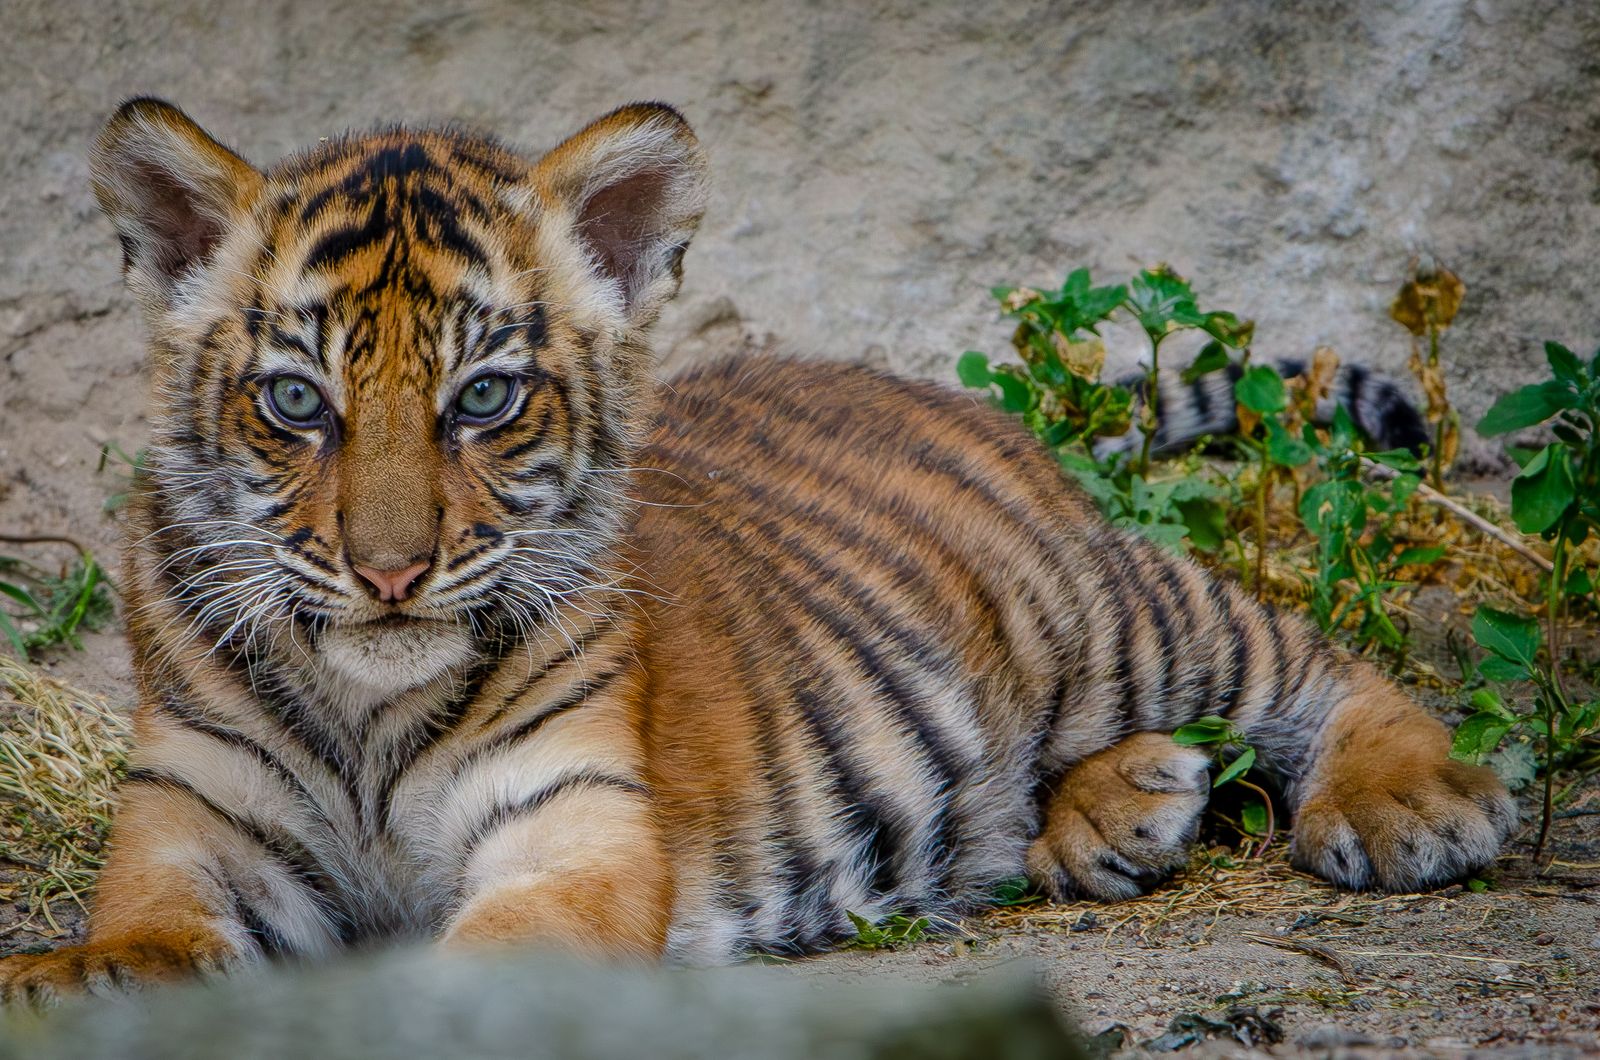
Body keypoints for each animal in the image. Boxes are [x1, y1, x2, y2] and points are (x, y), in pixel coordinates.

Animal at [0, 98, 1515, 1002]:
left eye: (482, 398)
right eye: (295, 401)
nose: (388, 575)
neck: (369, 711)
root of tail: (951, 393)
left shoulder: (573, 826)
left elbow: (477, 958)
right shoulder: (193, 830)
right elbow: (136, 939)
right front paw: (67, 983)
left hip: (1102, 610)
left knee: (1306, 654)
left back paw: (1409, 803)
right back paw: (1117, 811)